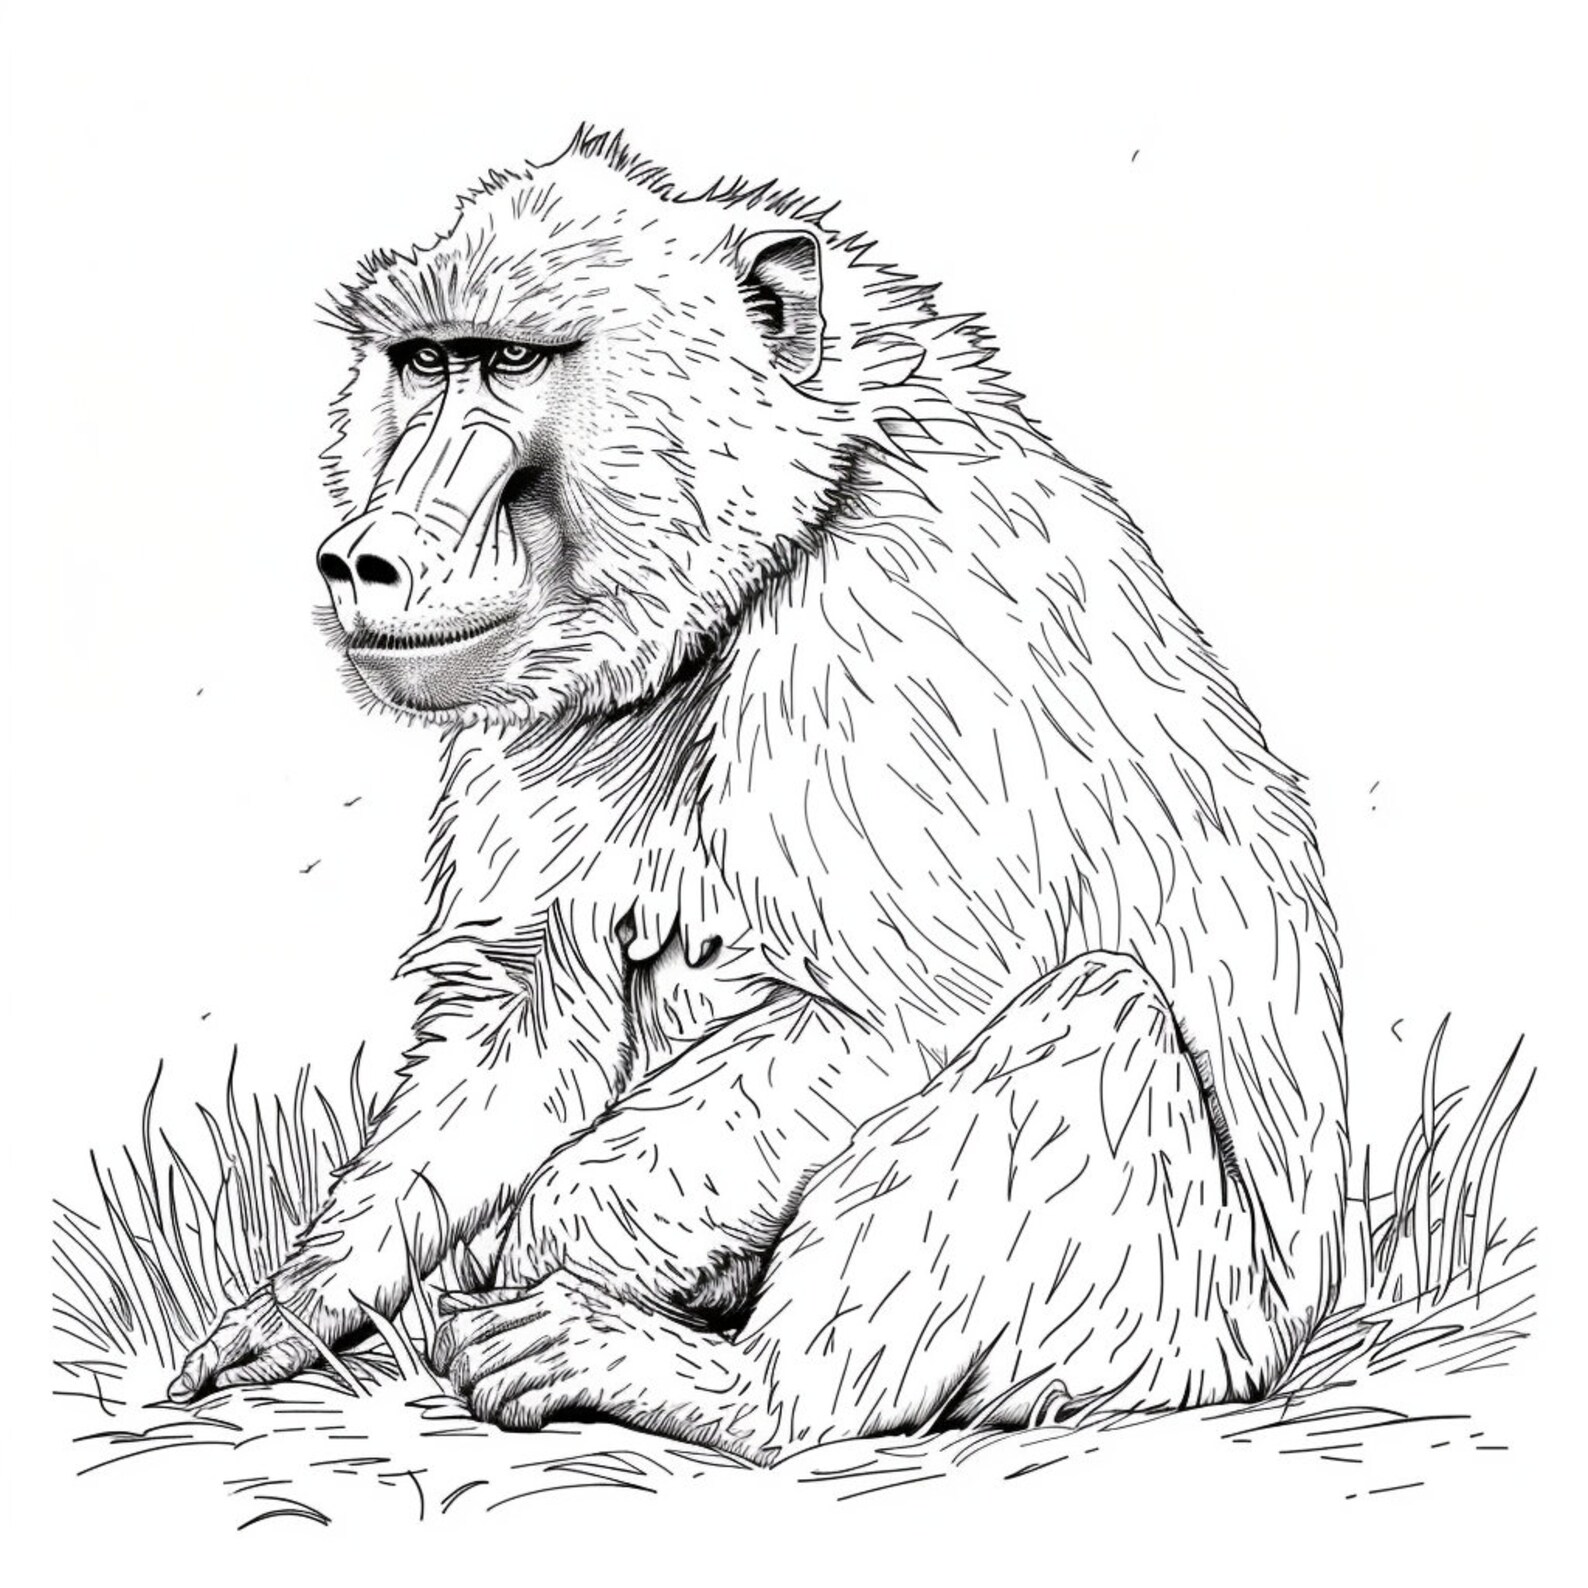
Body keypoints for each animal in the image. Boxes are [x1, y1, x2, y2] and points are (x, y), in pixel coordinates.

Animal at [169, 128, 1347, 1462]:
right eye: (427, 361)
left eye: (512, 361)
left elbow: (895, 1015)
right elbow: (520, 1017)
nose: (366, 555)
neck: (775, 546)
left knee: (1098, 1013)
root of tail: (1274, 1342)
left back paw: (742, 1390)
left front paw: (538, 1253)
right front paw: (301, 1300)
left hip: (1158, 1322)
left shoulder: (881, 632)